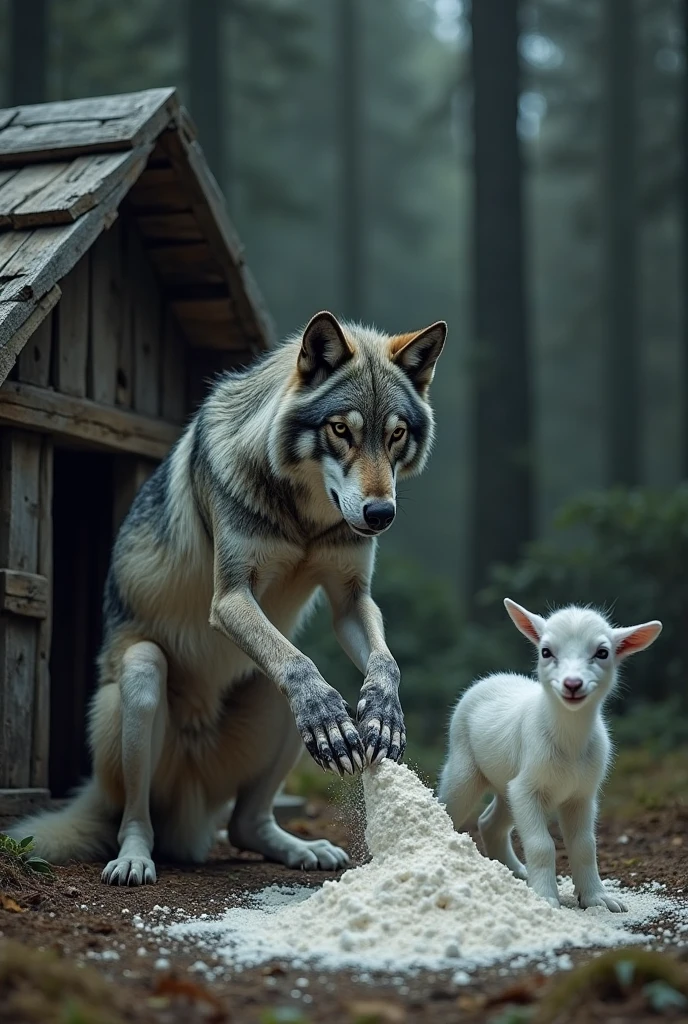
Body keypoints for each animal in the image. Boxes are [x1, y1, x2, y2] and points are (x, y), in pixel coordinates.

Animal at [11, 311, 446, 886]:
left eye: (395, 434)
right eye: (341, 430)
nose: (380, 515)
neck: (305, 521)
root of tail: (195, 811)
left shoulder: (351, 599)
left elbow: (381, 662)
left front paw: (381, 710)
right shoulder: (231, 596)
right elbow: (302, 669)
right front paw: (332, 715)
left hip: (266, 707)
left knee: (245, 821)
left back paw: (297, 848)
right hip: (140, 687)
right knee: (136, 815)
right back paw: (134, 859)